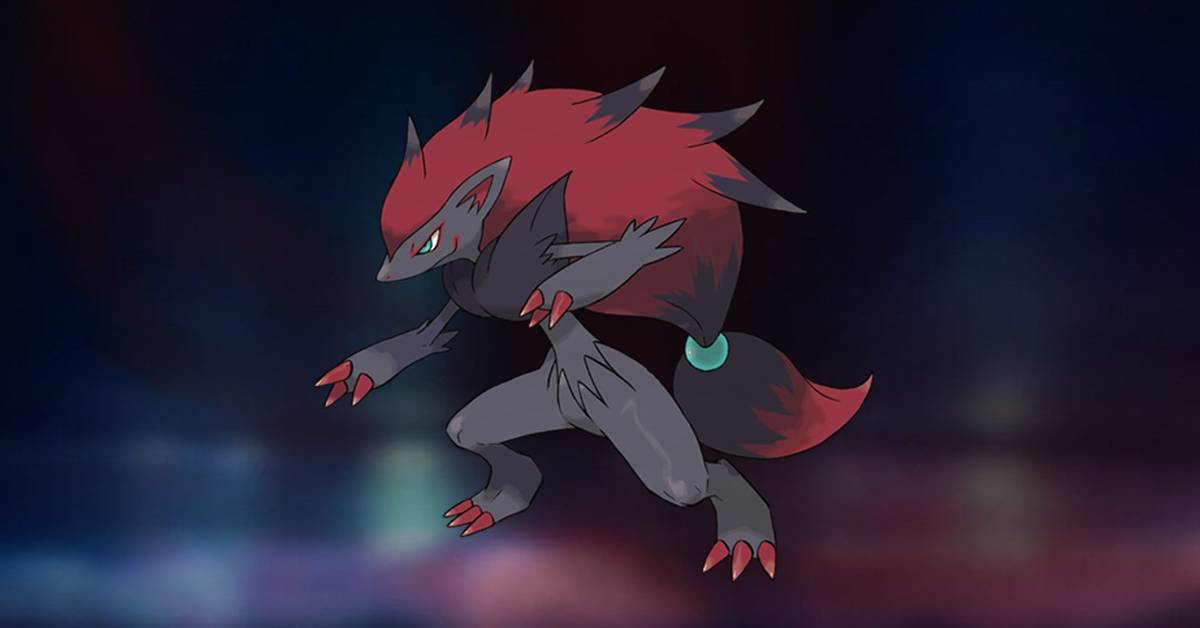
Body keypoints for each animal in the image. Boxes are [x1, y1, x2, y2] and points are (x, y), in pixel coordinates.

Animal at [315, 62, 872, 581]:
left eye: (426, 242)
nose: (385, 274)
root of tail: (577, 415)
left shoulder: (547, 246)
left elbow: (582, 270)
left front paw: (619, 256)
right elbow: (431, 334)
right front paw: (360, 371)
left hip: (642, 419)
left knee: (693, 480)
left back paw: (744, 532)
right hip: (541, 400)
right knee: (465, 430)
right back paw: (502, 498)